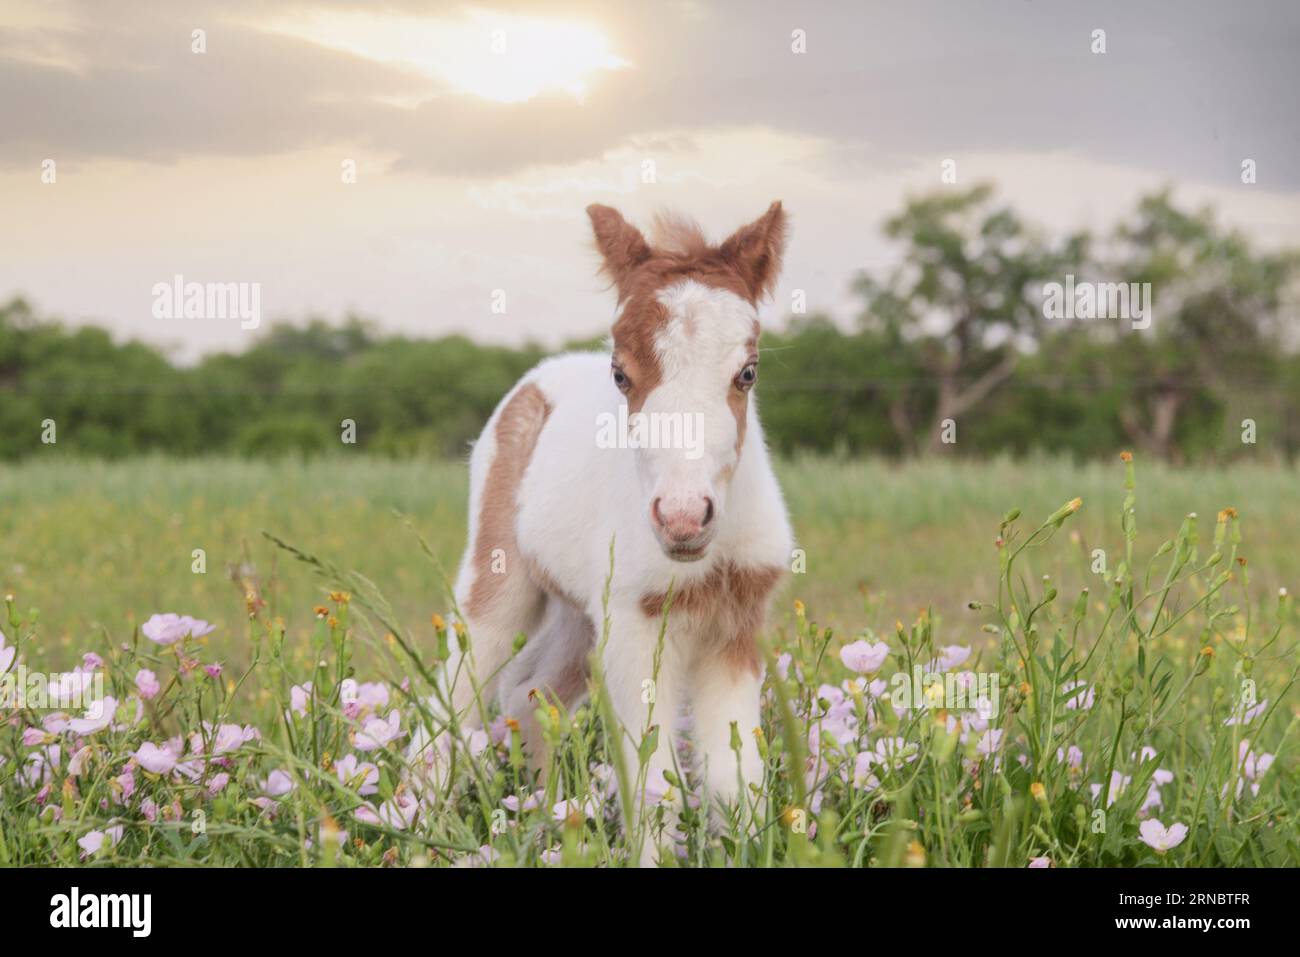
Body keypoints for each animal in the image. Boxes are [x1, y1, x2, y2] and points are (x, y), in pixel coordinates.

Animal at [439, 202, 794, 863]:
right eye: (621, 375)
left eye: (747, 373)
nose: (683, 517)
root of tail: (540, 376)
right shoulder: (636, 629)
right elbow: (655, 785)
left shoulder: (737, 626)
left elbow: (737, 784)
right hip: (500, 581)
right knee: (456, 698)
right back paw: (416, 822)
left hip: (583, 613)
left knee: (533, 696)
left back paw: (543, 822)